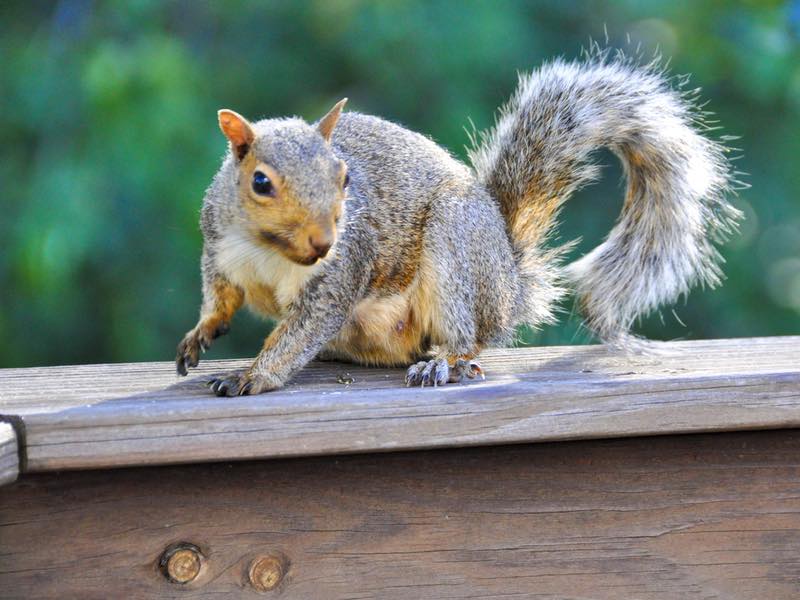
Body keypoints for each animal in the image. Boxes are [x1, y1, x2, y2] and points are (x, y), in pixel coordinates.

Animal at [176, 50, 741, 396]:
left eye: (344, 176)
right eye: (260, 182)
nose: (323, 242)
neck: (268, 248)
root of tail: (510, 283)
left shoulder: (340, 273)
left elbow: (300, 331)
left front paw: (254, 376)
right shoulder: (218, 248)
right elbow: (219, 296)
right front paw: (201, 333)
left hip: (456, 249)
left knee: (468, 336)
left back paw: (444, 361)